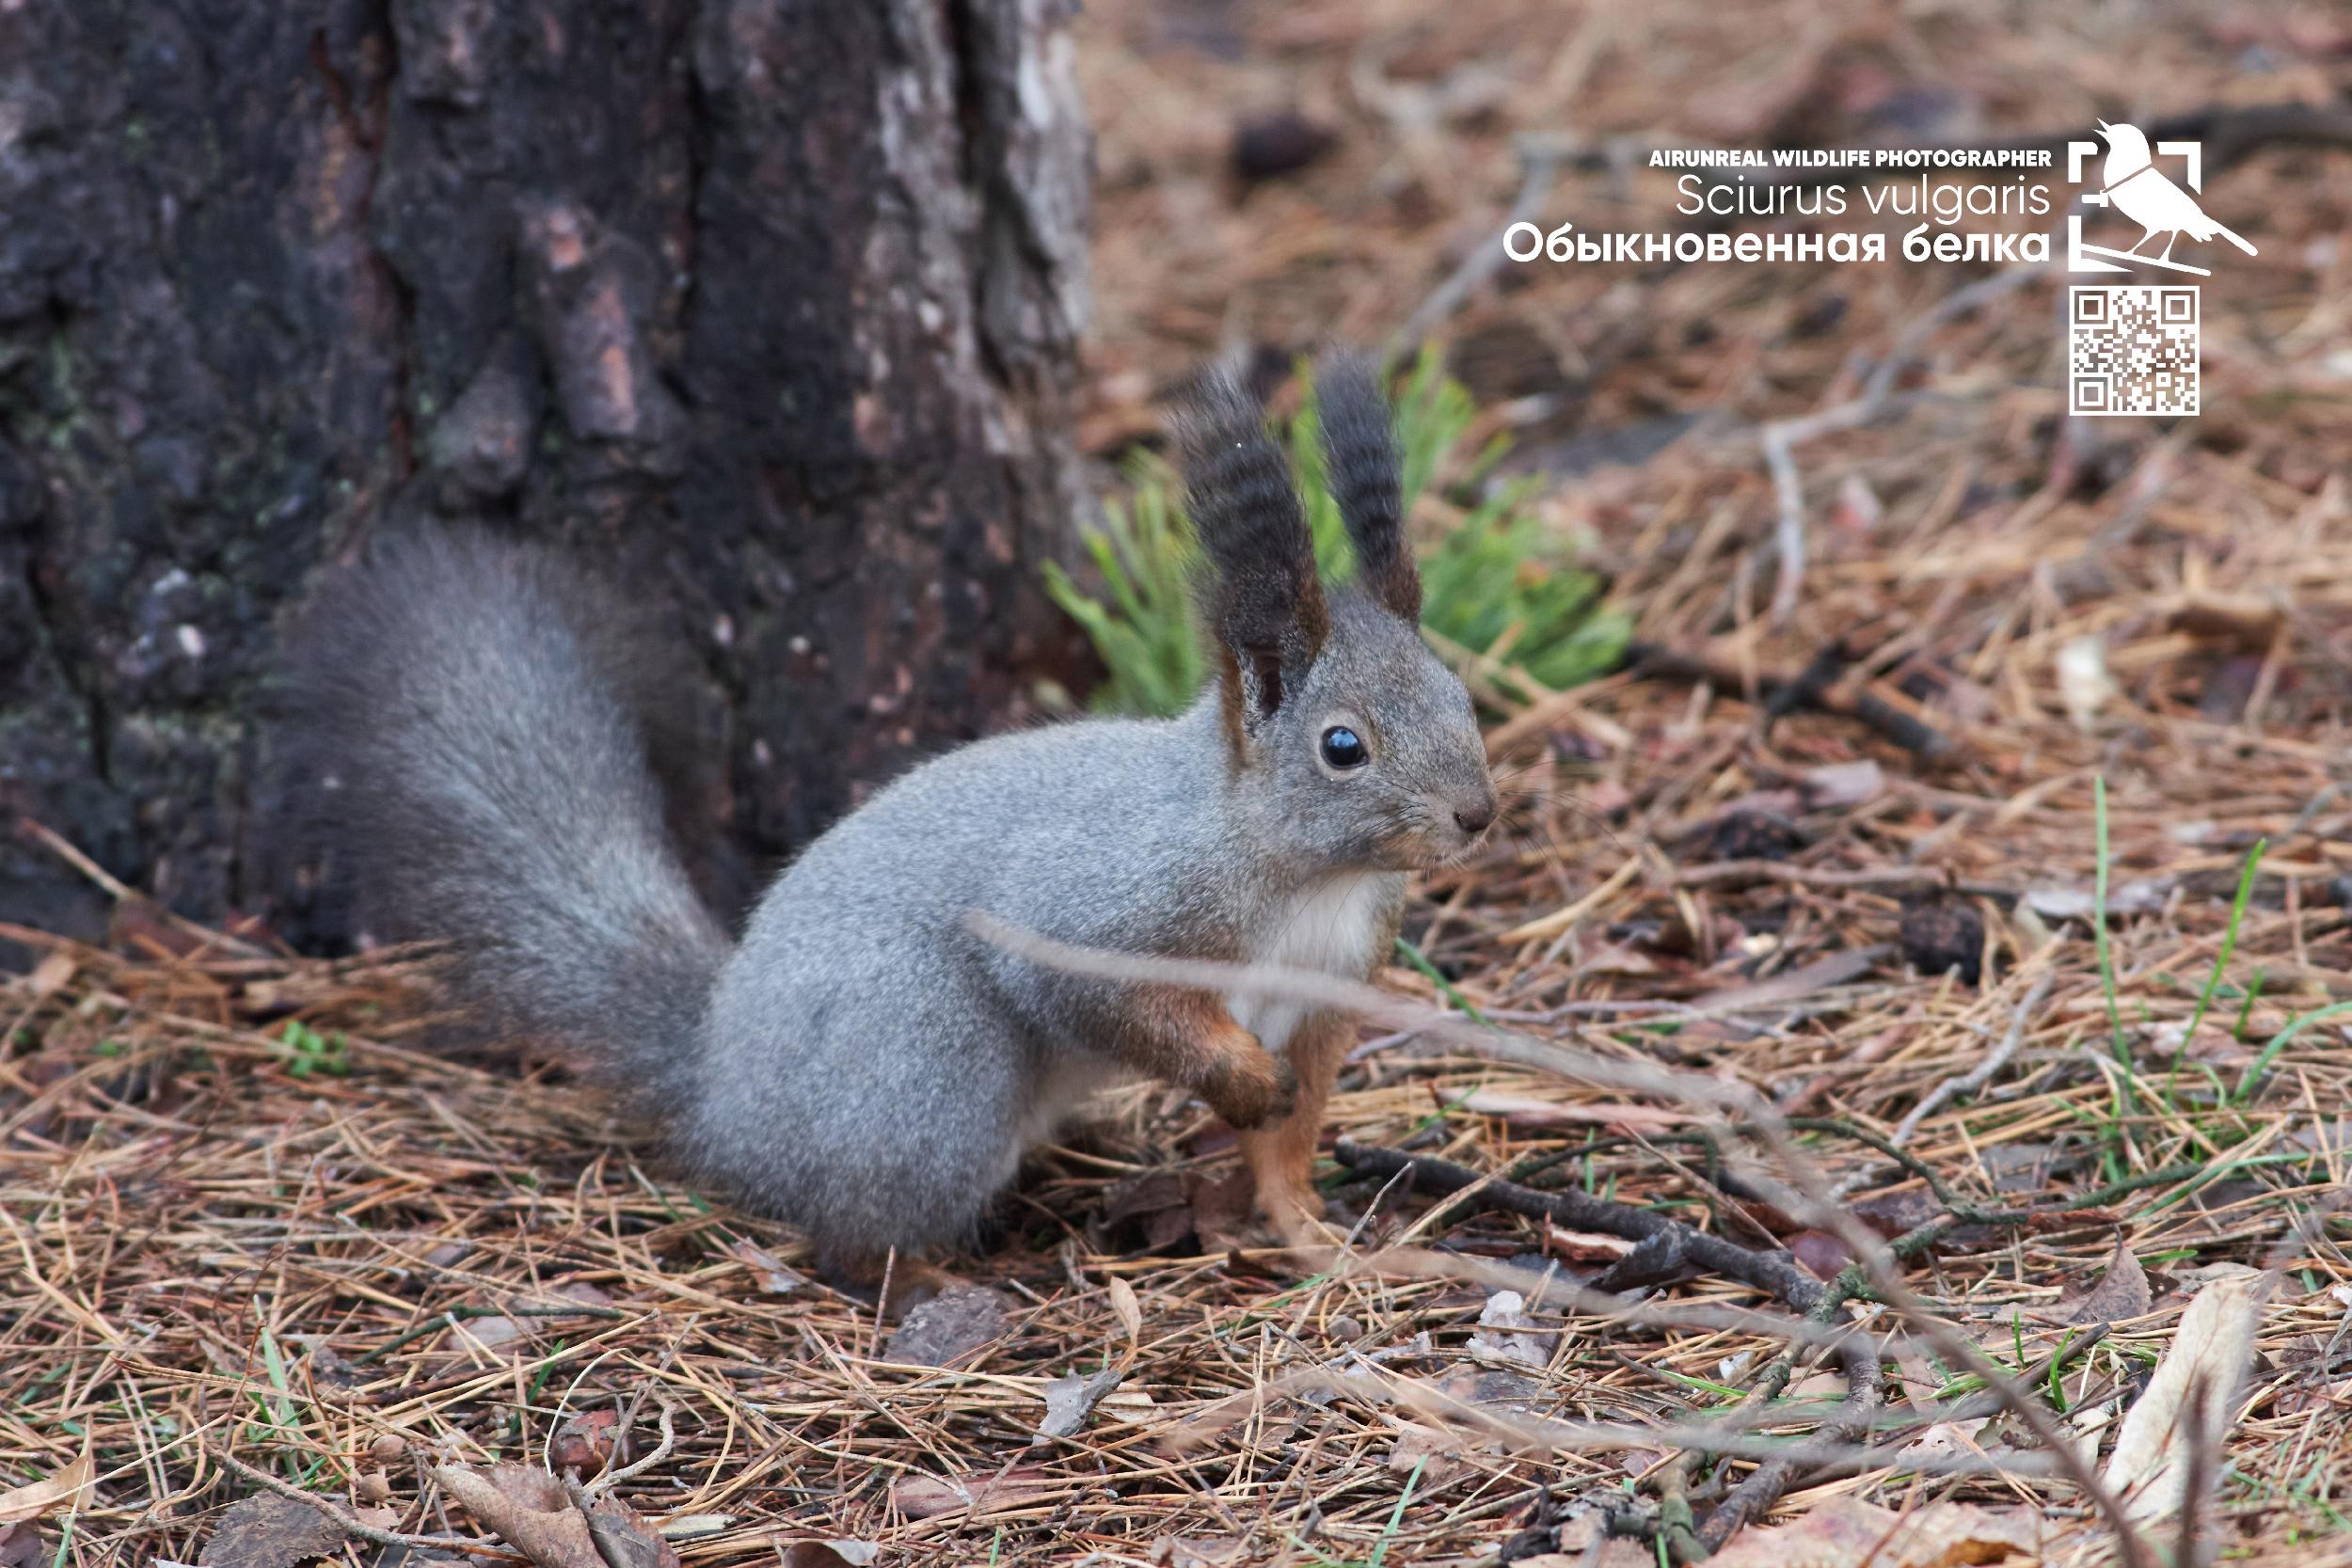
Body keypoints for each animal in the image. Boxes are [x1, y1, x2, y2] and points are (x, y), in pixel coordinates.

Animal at [275, 355, 1486, 1288]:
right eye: (1342, 747)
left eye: (1459, 692)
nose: (1475, 814)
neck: (1302, 871)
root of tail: (722, 1089)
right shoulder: (1102, 894)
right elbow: (1093, 990)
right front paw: (1234, 1079)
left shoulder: (1328, 985)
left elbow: (1290, 1139)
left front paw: (1315, 1238)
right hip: (925, 1064)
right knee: (850, 1234)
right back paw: (941, 1285)